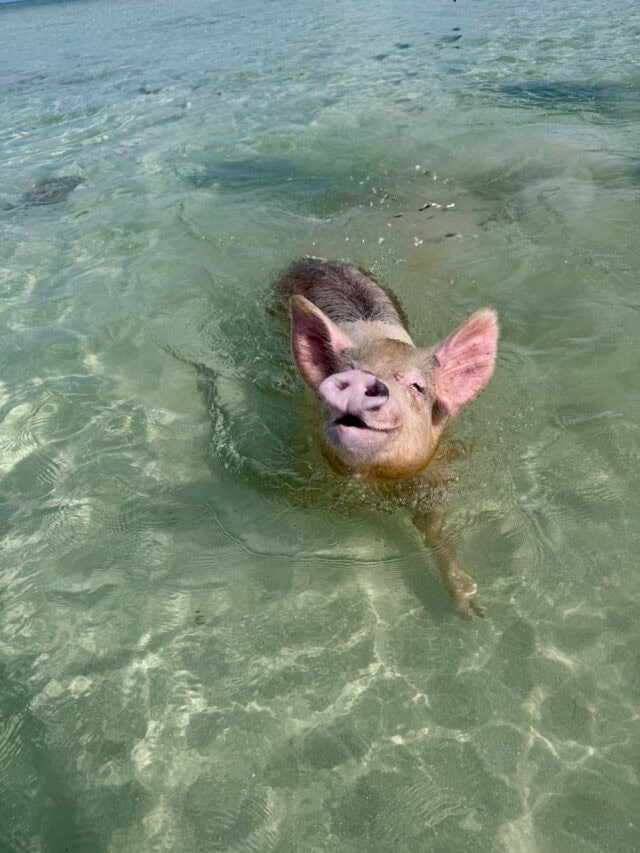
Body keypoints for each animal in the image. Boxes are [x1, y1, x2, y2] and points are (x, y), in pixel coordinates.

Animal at [278, 256, 498, 619]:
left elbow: (434, 529)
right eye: (346, 371)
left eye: (417, 386)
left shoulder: (434, 474)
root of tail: (316, 259)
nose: (365, 381)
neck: (371, 478)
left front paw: (473, 609)